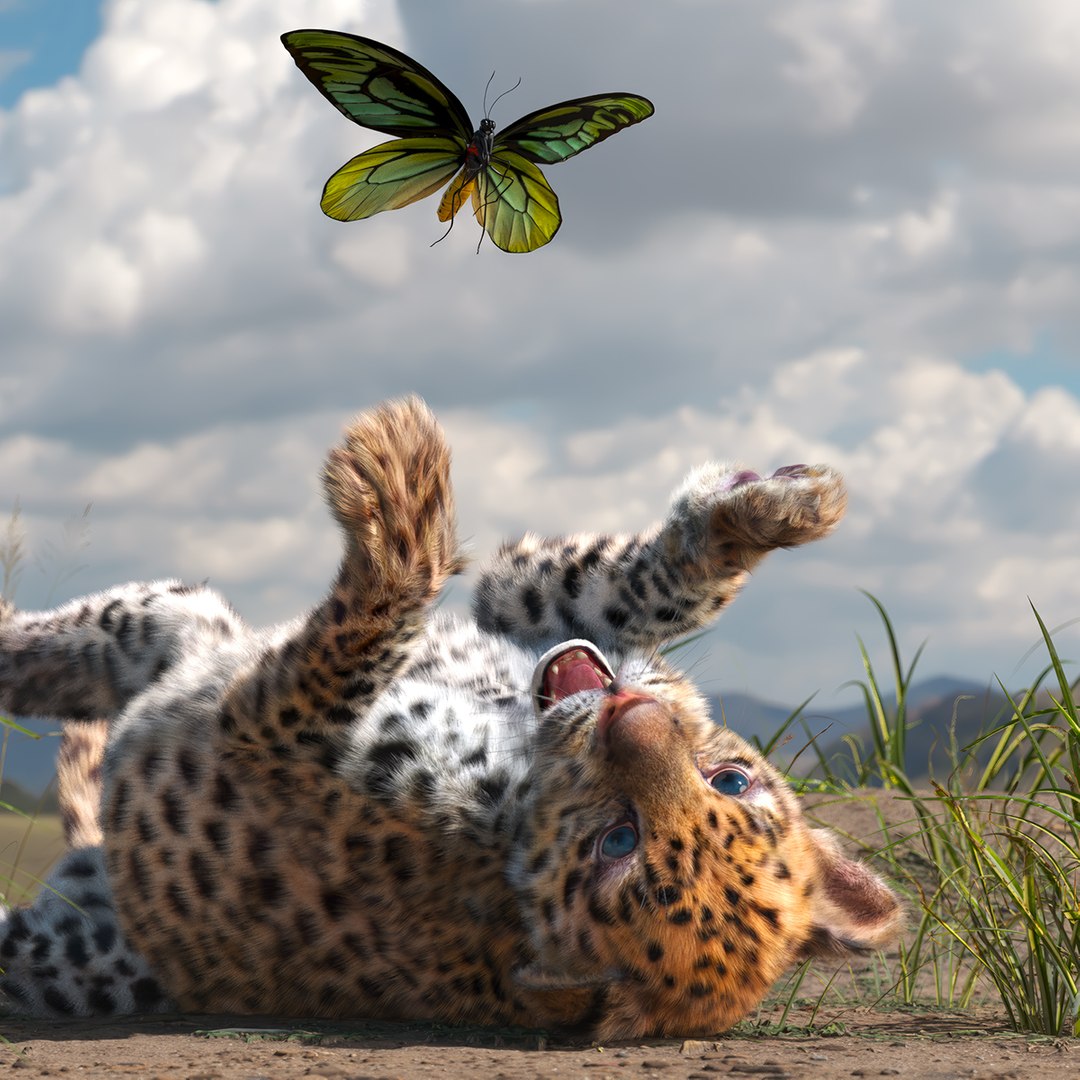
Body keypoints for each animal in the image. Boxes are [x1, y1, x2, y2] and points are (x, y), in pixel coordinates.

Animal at [0, 396, 901, 1040]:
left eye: (618, 843)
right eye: (732, 779)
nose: (631, 711)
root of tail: (98, 876)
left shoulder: (264, 726)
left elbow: (368, 622)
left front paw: (401, 483)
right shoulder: (535, 612)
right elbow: (643, 582)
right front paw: (782, 506)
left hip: (59, 944)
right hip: (168, 622)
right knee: (54, 650)